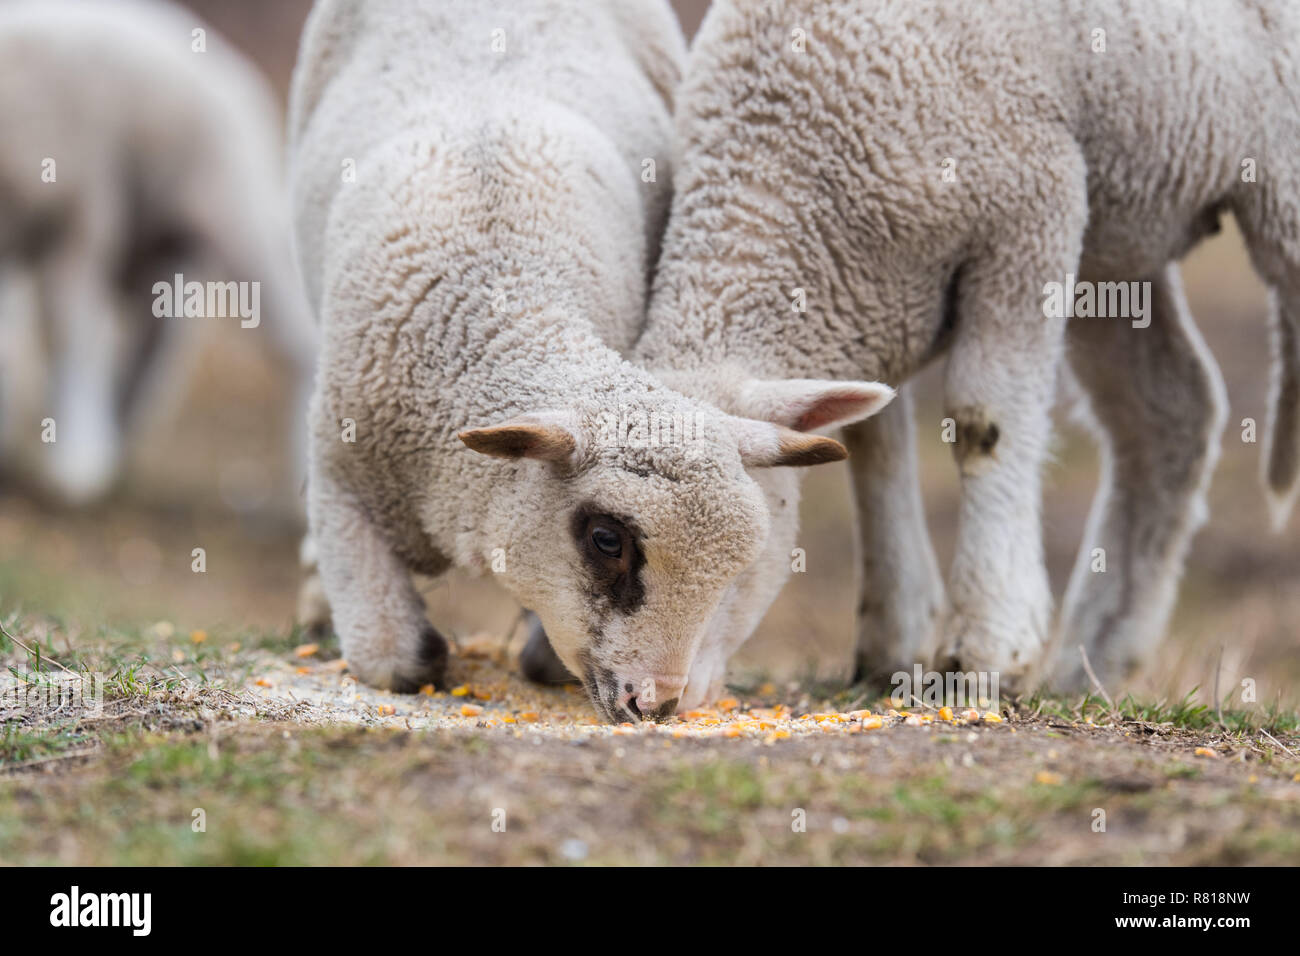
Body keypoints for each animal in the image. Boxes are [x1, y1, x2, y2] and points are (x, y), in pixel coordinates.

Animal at [0, 0, 316, 506]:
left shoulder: (83, 214)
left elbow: (68, 334)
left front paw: (73, 466)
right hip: (157, 247)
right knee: (158, 340)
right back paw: (118, 432)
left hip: (235, 209)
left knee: (295, 337)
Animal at [287, 0, 894, 720]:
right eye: (607, 540)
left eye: (736, 568)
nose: (656, 704)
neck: (503, 294)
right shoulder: (339, 480)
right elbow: (398, 660)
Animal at [635, 0, 1299, 700]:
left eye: (744, 543)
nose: (660, 697)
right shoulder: (872, 291)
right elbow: (873, 445)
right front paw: (893, 640)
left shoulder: (1031, 209)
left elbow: (986, 421)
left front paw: (989, 646)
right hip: (1117, 237)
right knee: (1170, 414)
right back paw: (1091, 664)